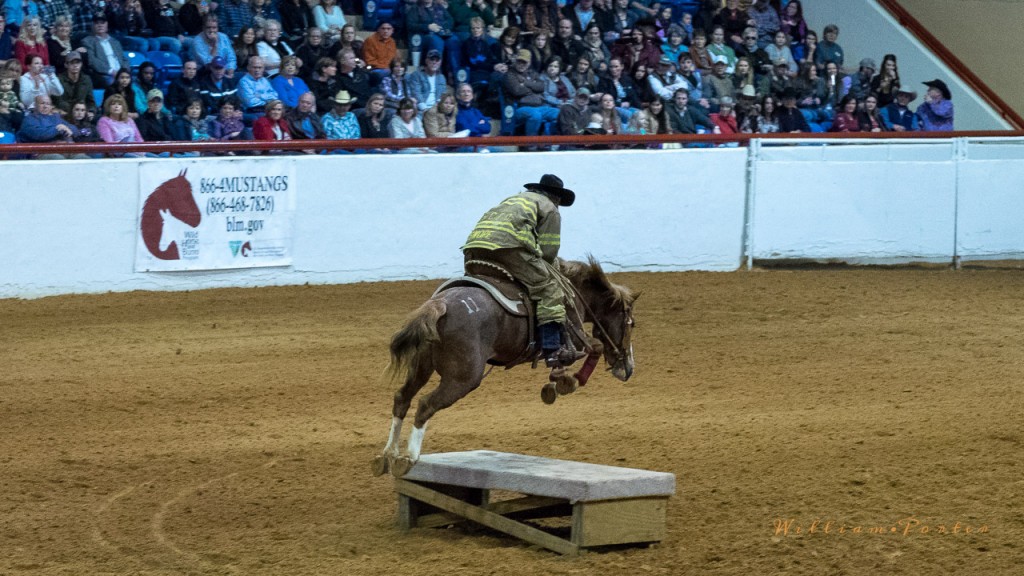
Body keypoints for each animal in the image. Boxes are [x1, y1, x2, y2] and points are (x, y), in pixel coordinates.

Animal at [372, 257, 638, 478]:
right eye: (631, 323)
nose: (628, 369)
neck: (574, 293)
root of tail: (440, 305)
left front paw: (557, 379)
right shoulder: (577, 339)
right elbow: (596, 347)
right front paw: (570, 381)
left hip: (421, 367)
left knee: (402, 398)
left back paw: (388, 455)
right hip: (463, 378)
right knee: (426, 404)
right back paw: (409, 457)